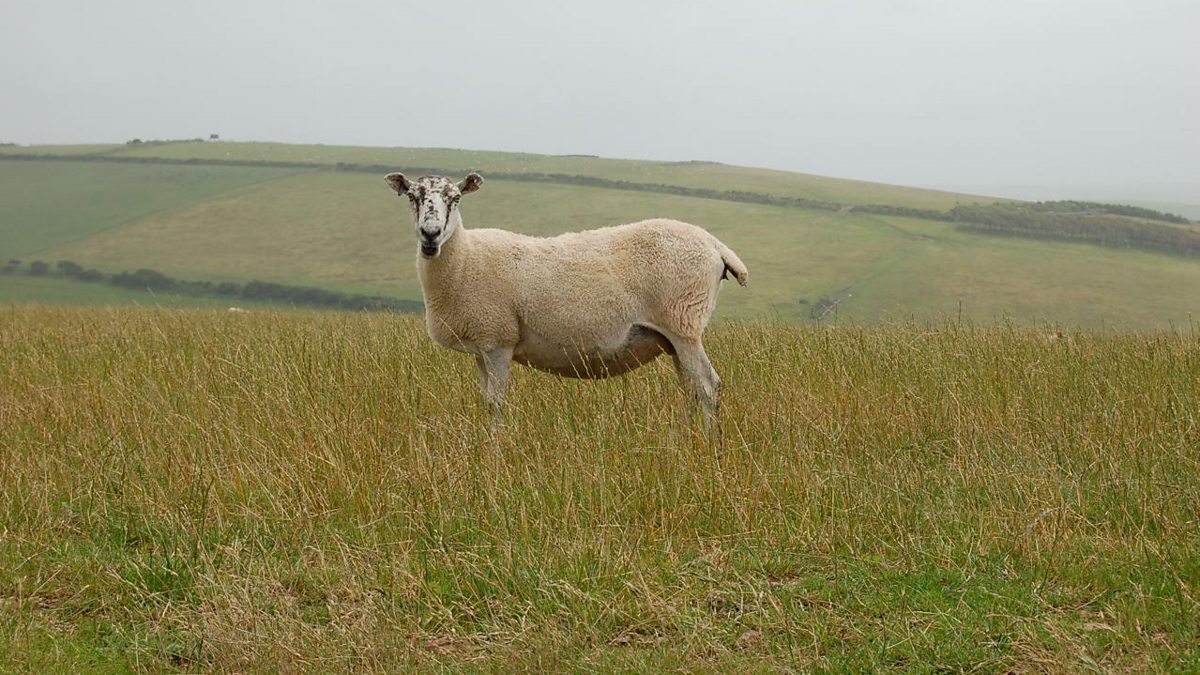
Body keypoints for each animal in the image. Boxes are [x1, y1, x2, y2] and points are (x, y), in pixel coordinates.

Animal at [383, 171, 748, 429]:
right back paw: (687, 440)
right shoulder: (482, 345)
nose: (430, 234)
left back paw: (710, 448)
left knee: (708, 386)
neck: (465, 258)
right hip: (672, 336)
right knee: (690, 388)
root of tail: (715, 245)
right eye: (413, 196)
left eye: (456, 198)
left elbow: (496, 404)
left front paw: (496, 453)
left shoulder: (499, 341)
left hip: (684, 322)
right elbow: (485, 402)